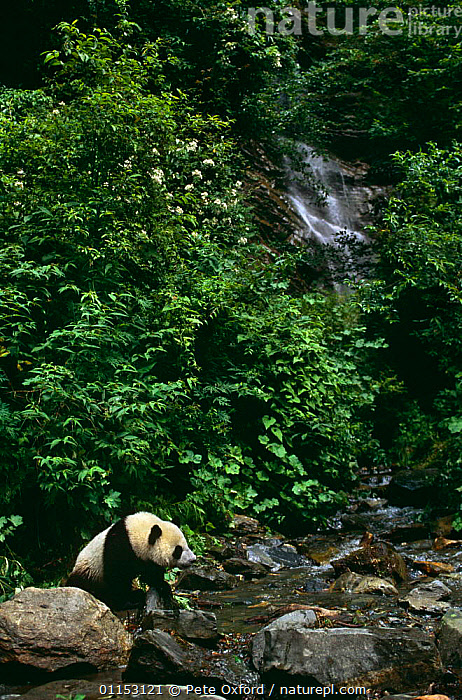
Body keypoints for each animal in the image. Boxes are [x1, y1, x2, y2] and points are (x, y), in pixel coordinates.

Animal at [65, 511, 196, 610]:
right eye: (178, 550)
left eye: (186, 544)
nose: (193, 559)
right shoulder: (119, 546)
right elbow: (117, 577)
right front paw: (127, 602)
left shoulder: (146, 558)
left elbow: (150, 574)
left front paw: (163, 586)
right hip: (90, 573)